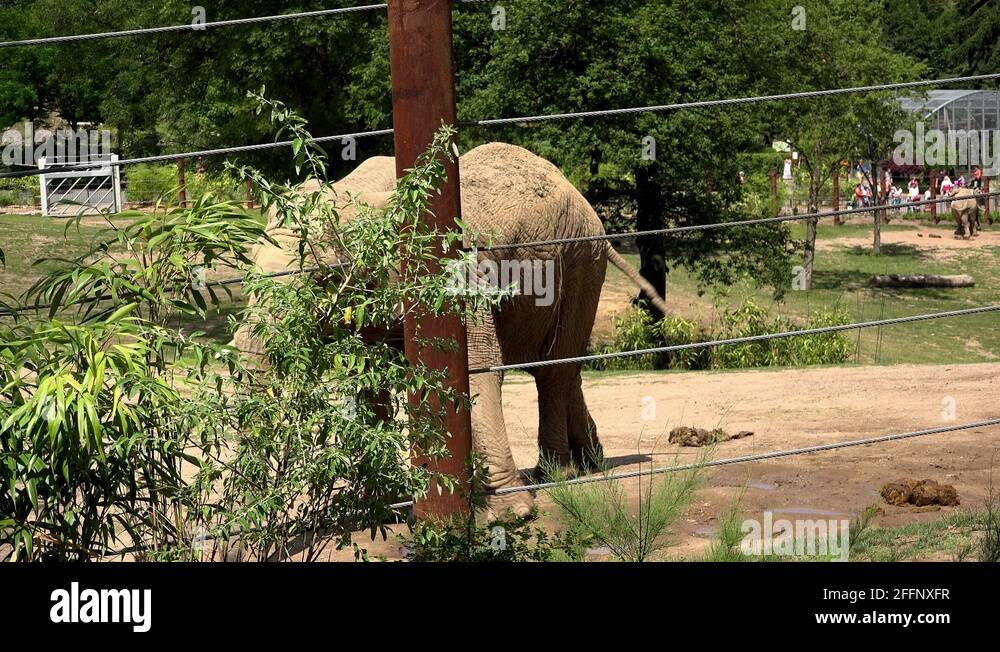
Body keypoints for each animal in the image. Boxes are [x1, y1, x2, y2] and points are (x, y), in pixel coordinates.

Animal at [235, 142, 669, 519]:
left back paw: (556, 474)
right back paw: (590, 461)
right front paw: (384, 505)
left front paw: (510, 515)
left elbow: (475, 365)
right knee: (567, 369)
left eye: (320, 280)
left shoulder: (451, 272)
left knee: (553, 369)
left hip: (581, 260)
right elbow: (372, 379)